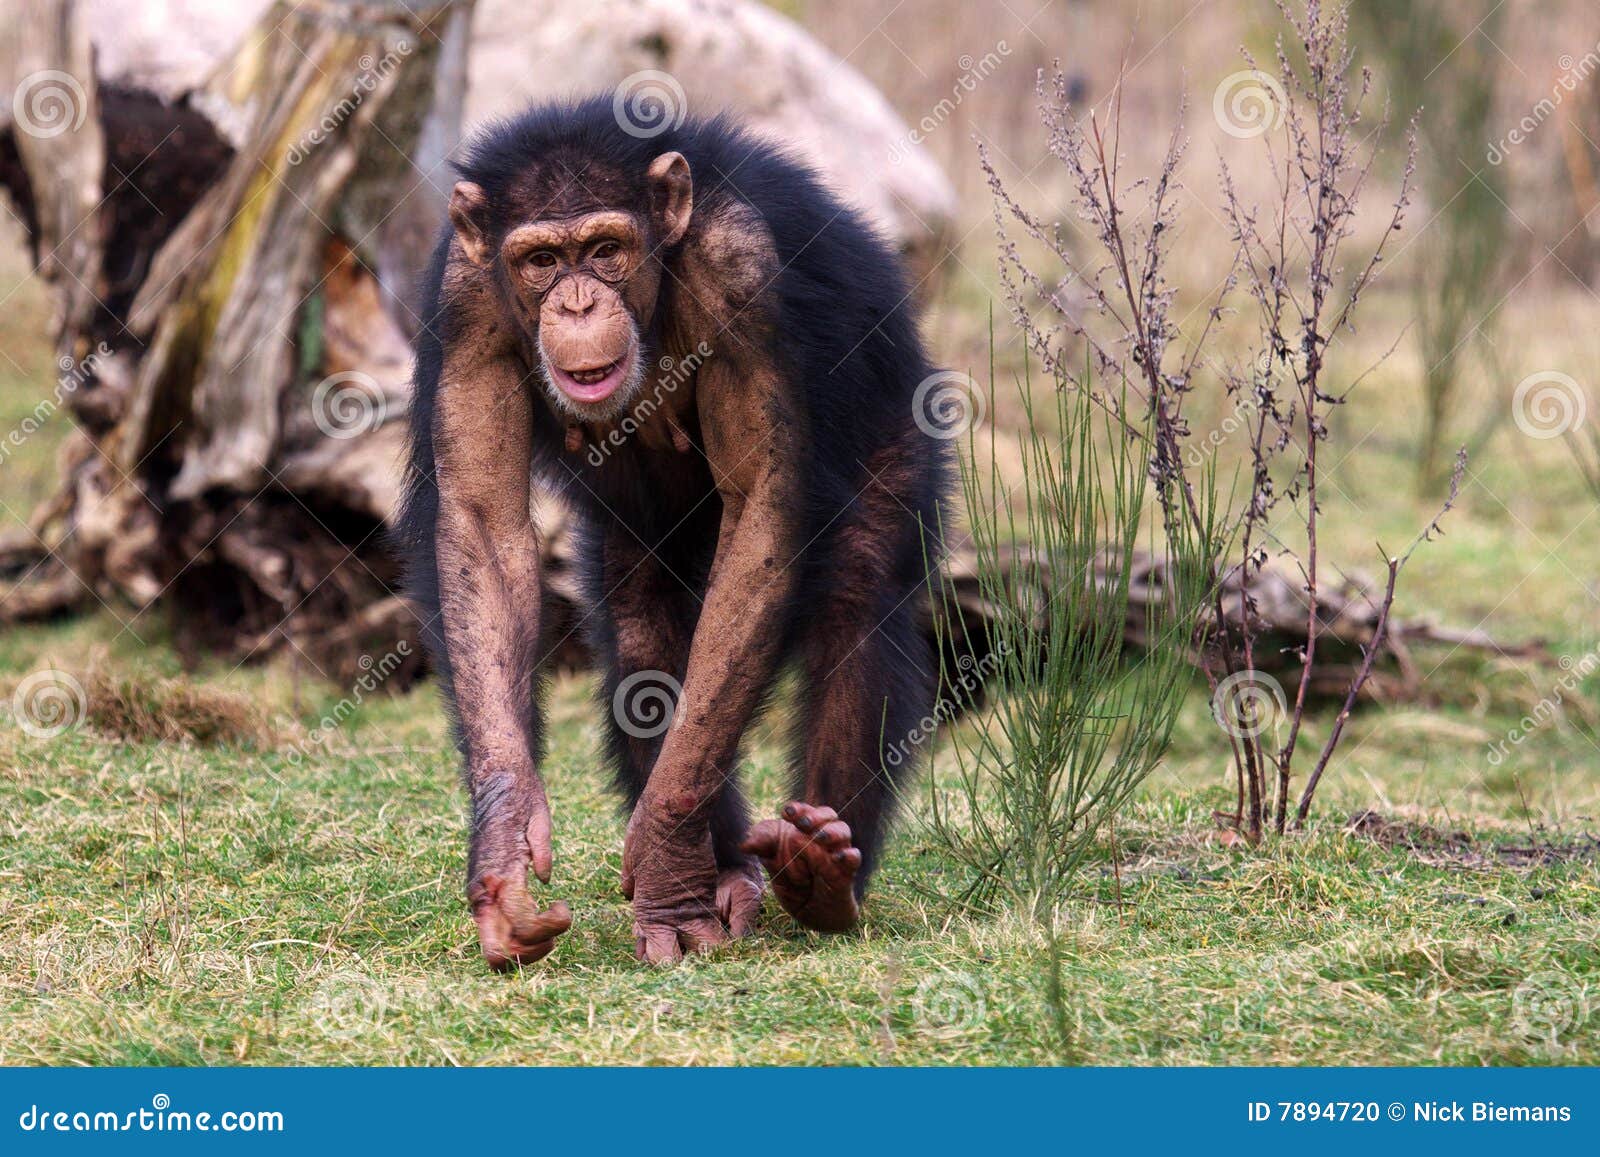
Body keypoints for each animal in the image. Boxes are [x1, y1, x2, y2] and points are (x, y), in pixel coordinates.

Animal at [397, 98, 950, 968]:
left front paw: (665, 854)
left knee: (859, 592)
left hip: (898, 411)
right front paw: (503, 843)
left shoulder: (741, 271)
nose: (577, 301)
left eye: (605, 249)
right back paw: (728, 874)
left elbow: (763, 506)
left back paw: (821, 871)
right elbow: (482, 522)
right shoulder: (465, 299)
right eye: (541, 260)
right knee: (643, 636)